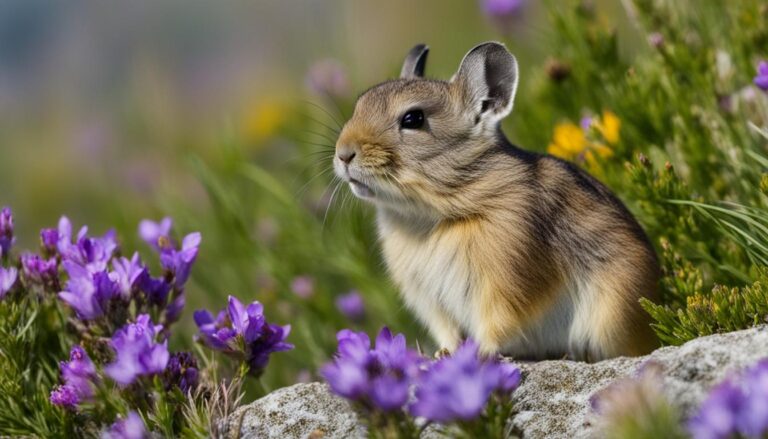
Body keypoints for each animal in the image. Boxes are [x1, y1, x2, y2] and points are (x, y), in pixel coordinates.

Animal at [332, 42, 659, 361]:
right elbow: (446, 330)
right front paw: (443, 355)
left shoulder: (507, 280)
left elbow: (497, 323)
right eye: (359, 104)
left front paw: (479, 354)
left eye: (413, 119)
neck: (432, 217)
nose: (343, 154)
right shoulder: (430, 300)